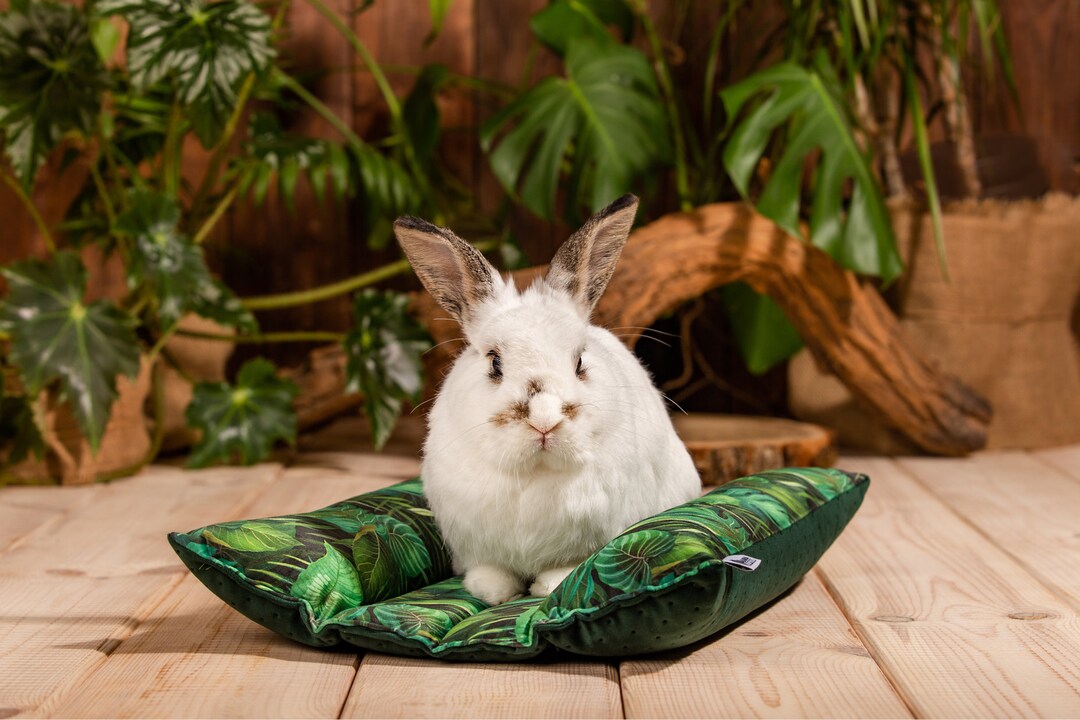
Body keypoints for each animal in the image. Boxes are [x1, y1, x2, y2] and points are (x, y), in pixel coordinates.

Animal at [393, 194, 701, 605]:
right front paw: (492, 593)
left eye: (580, 361)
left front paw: (547, 588)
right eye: (494, 362)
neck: (534, 472)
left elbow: (568, 568)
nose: (544, 419)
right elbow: (492, 569)